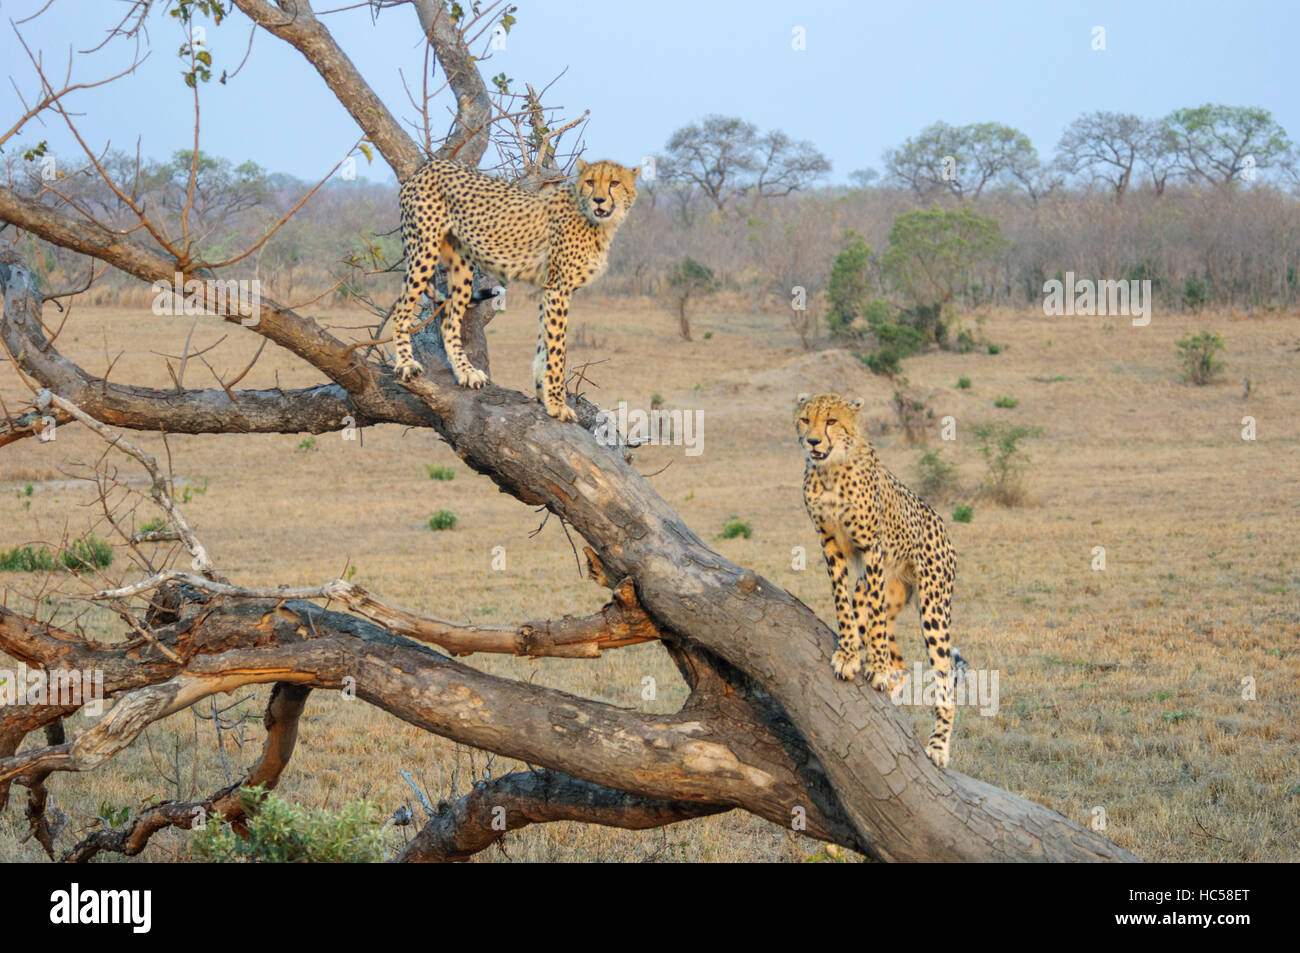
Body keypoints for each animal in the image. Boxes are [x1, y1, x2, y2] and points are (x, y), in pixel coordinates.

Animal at [389, 157, 639, 422]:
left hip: (461, 264)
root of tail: (429, 165)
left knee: (449, 323)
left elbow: (544, 344)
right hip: (424, 251)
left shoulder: (550, 289)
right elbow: (557, 350)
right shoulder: (559, 288)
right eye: (591, 182)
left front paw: (542, 396)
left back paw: (466, 372)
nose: (599, 200)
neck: (600, 222)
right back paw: (406, 363)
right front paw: (557, 404)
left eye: (614, 183)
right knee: (401, 310)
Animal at [795, 392, 964, 768]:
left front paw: (873, 664)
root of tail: (942, 524)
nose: (812, 441)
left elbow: (872, 614)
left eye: (831, 421)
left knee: (944, 679)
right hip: (897, 592)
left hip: (933, 607)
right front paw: (847, 654)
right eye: (804, 419)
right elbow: (843, 603)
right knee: (900, 663)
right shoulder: (831, 543)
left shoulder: (873, 548)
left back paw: (938, 746)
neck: (830, 470)